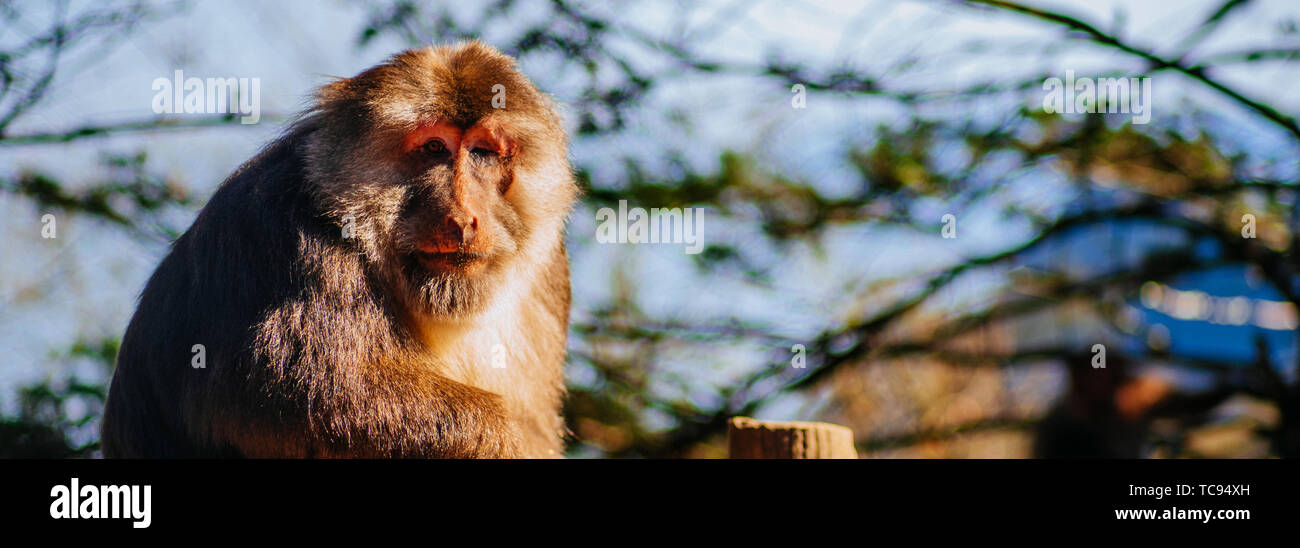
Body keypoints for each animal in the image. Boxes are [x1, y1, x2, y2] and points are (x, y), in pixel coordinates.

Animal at [101, 42, 579, 458]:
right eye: (433, 148)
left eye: (482, 152)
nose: (462, 218)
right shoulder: (293, 230)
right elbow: (288, 389)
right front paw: (497, 438)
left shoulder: (549, 274)